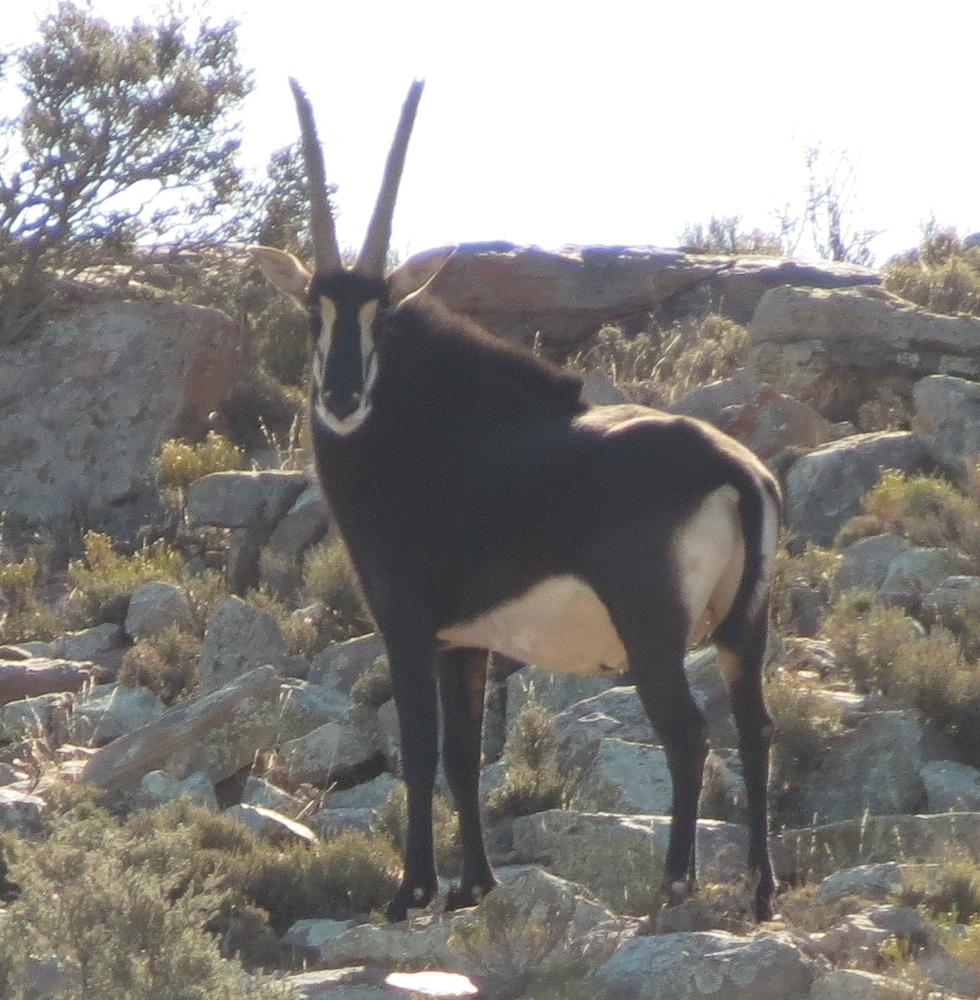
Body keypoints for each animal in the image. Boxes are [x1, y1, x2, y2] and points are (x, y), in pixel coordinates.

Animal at [250, 79, 782, 923]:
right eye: (313, 311)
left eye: (381, 314)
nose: (340, 398)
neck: (433, 428)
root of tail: (733, 469)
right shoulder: (466, 641)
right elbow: (465, 757)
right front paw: (474, 884)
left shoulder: (406, 626)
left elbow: (422, 749)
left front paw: (410, 893)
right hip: (744, 628)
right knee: (757, 728)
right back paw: (760, 890)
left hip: (654, 631)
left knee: (689, 733)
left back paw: (674, 883)